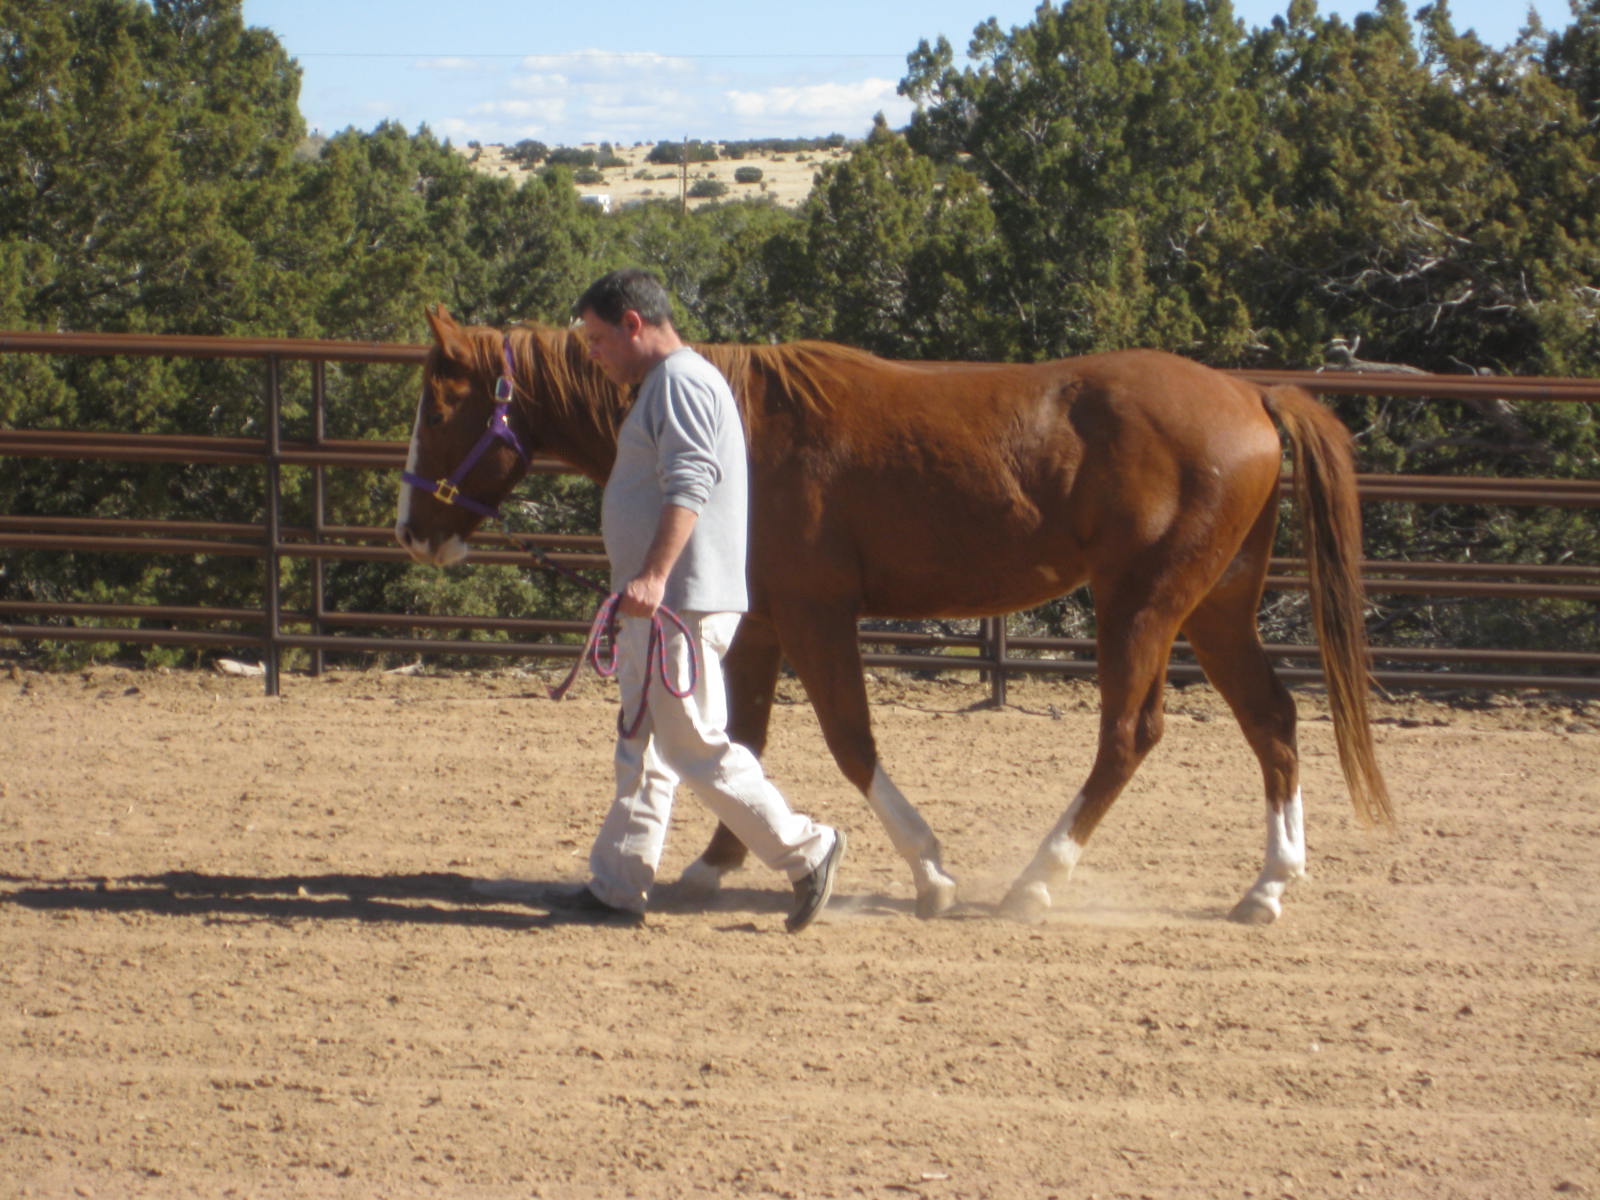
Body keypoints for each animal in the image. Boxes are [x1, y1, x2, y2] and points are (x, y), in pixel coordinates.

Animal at [396, 306, 1392, 924]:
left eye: (438, 409)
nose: (412, 529)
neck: (748, 429)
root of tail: (1250, 393)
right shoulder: (758, 625)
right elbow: (741, 743)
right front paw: (713, 865)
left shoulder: (818, 615)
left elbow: (849, 741)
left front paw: (929, 872)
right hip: (1217, 607)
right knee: (1272, 719)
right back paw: (1266, 889)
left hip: (1142, 604)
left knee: (1129, 735)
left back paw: (1036, 884)